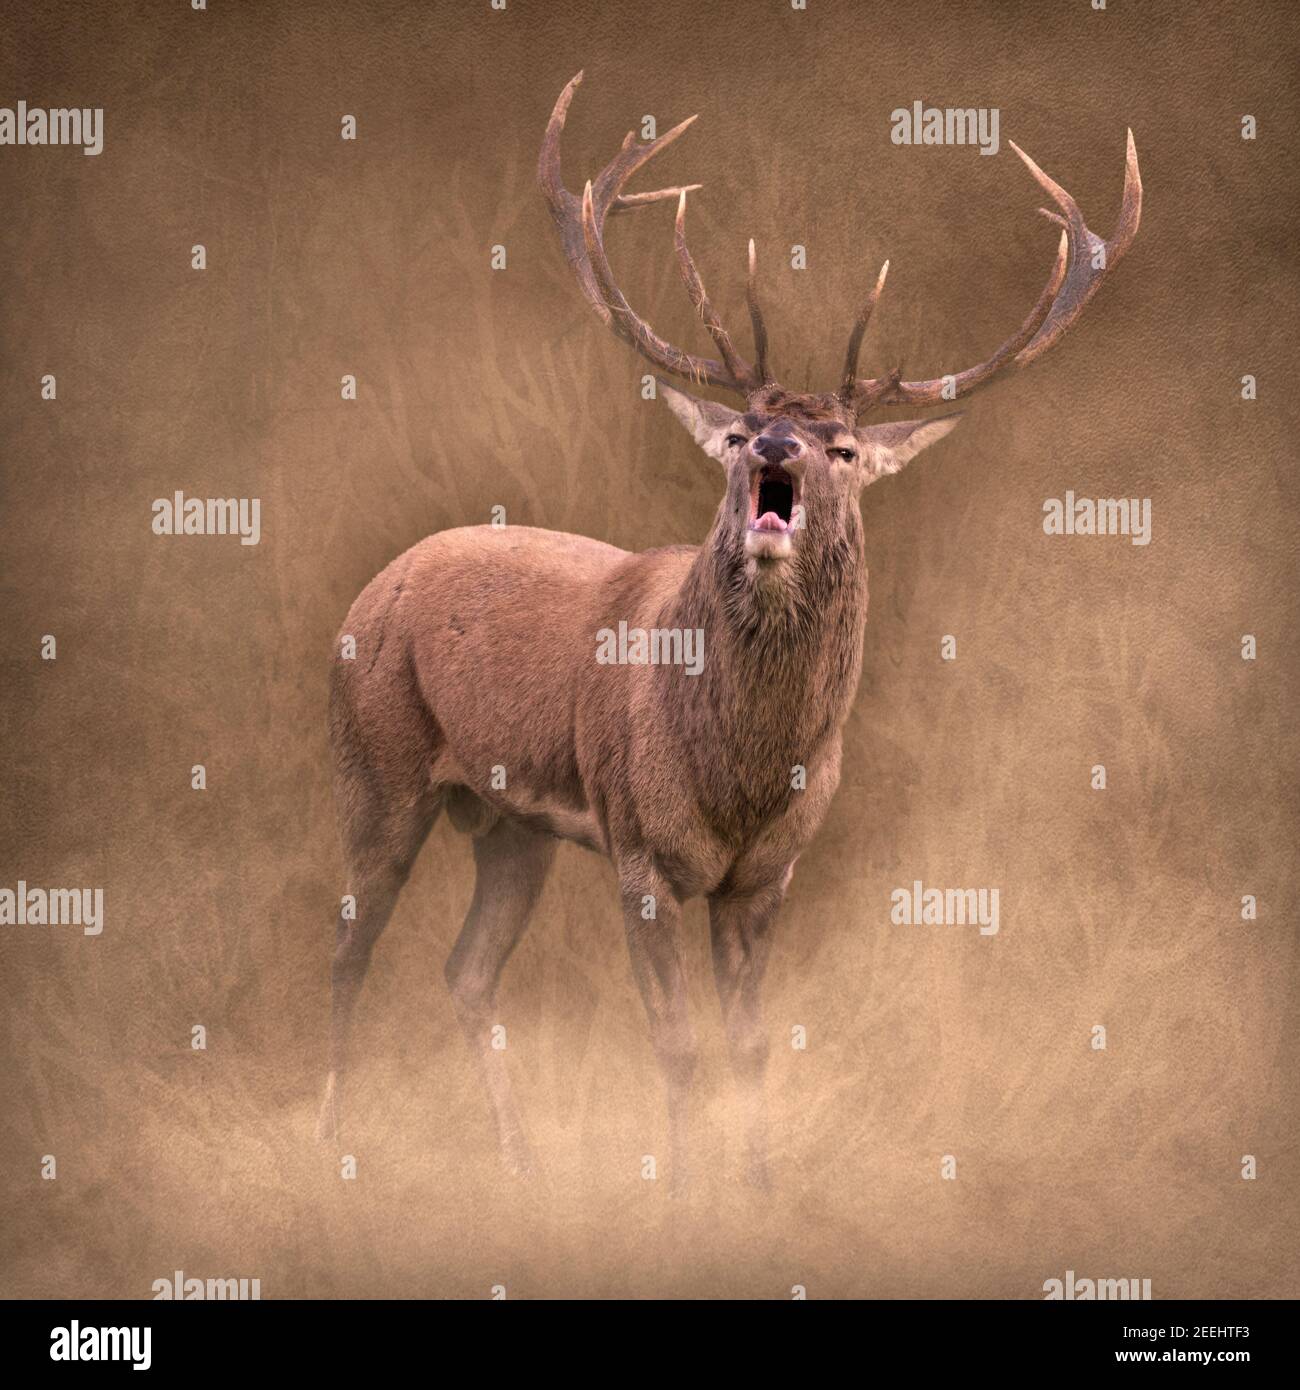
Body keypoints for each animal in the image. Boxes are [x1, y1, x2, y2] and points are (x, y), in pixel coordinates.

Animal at [317, 71, 1141, 1193]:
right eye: (743, 430)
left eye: (845, 446)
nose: (780, 445)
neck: (740, 770)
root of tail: (371, 590)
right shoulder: (638, 848)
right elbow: (677, 1046)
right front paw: (681, 1195)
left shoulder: (768, 873)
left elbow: (751, 1044)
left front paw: (758, 1188)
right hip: (379, 765)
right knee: (349, 955)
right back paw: (329, 1146)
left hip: (513, 826)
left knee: (465, 970)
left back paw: (519, 1165)